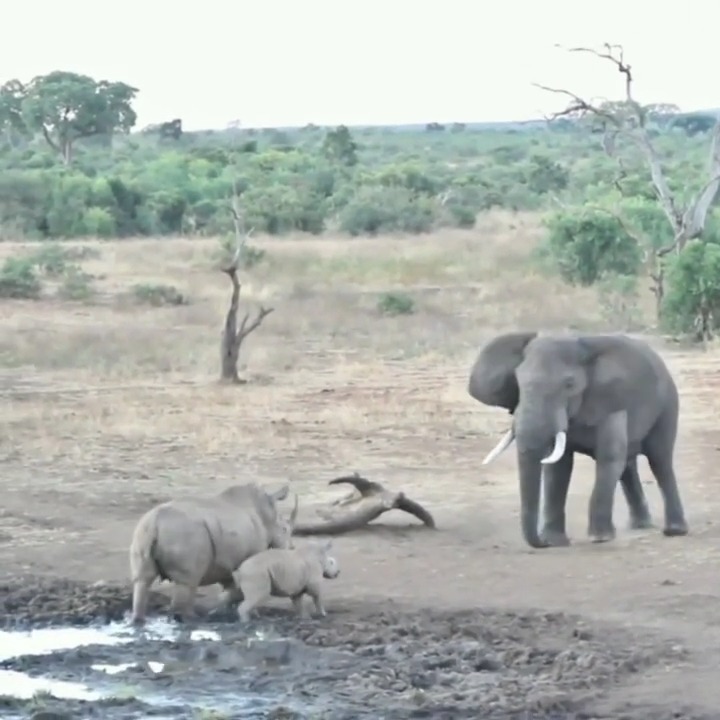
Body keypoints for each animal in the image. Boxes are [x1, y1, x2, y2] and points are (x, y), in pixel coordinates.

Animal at [468, 331, 689, 549]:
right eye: (517, 381)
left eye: (569, 384)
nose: (542, 543)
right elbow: (558, 467)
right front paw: (555, 541)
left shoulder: (611, 401)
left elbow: (609, 457)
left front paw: (600, 538)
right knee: (628, 465)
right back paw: (641, 526)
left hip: (668, 404)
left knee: (659, 459)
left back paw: (675, 531)